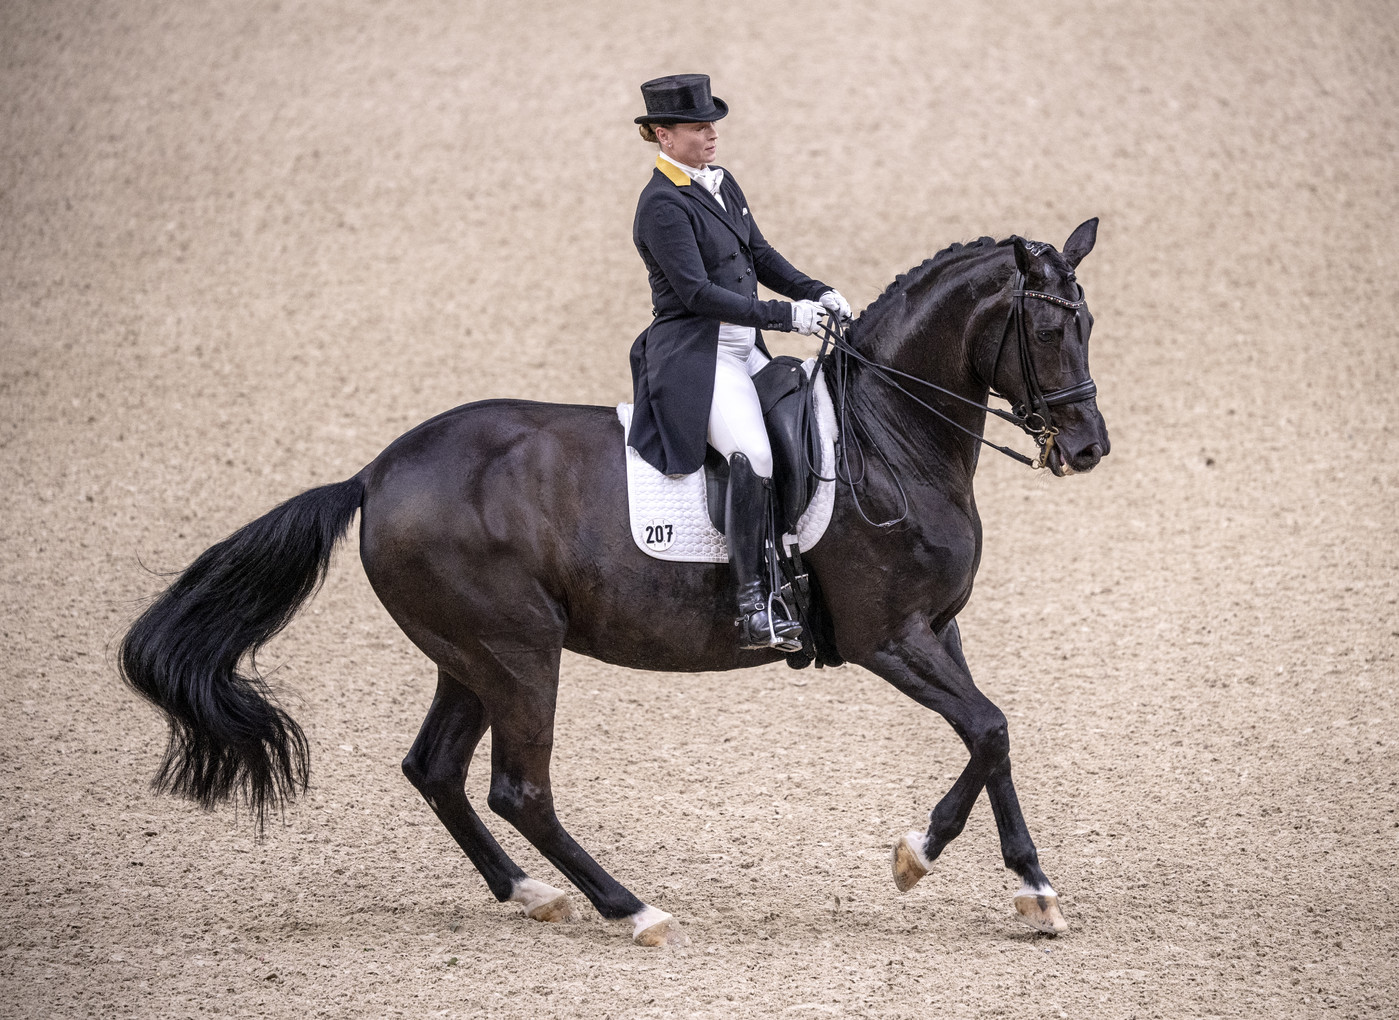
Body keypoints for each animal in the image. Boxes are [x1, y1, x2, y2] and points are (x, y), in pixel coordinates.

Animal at [117, 221, 1102, 945]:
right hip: (516, 652)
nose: (1088, 448)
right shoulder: (885, 637)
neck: (886, 437)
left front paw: (1032, 888)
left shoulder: (939, 628)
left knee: (435, 768)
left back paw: (532, 894)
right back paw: (631, 909)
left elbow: (990, 738)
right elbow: (987, 728)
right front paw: (917, 854)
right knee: (518, 789)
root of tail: (376, 474)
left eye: (1087, 324)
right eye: (1047, 330)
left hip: (467, 657)